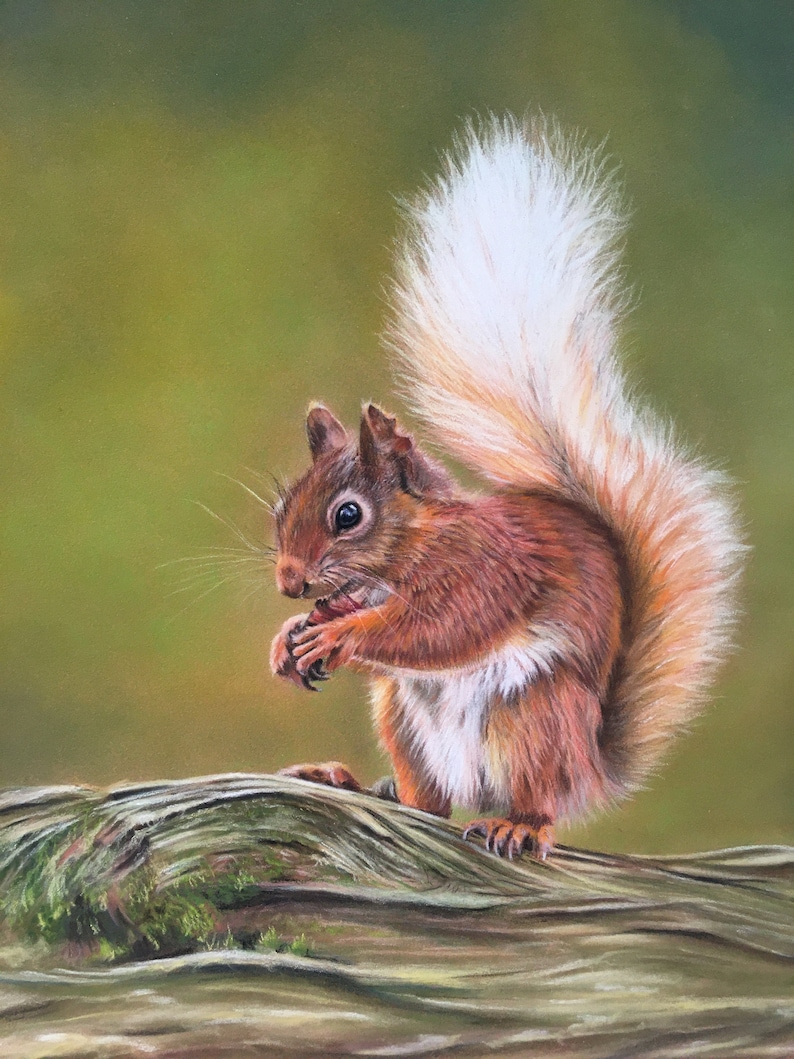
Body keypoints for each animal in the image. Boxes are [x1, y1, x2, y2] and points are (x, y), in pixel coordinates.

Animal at [268, 116, 743, 859]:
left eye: (348, 515)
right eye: (282, 507)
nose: (289, 582)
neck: (414, 548)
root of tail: (589, 767)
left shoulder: (488, 572)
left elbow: (431, 630)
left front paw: (336, 636)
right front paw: (291, 636)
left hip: (534, 720)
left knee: (534, 803)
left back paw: (518, 822)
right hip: (403, 718)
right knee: (428, 803)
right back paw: (351, 780)